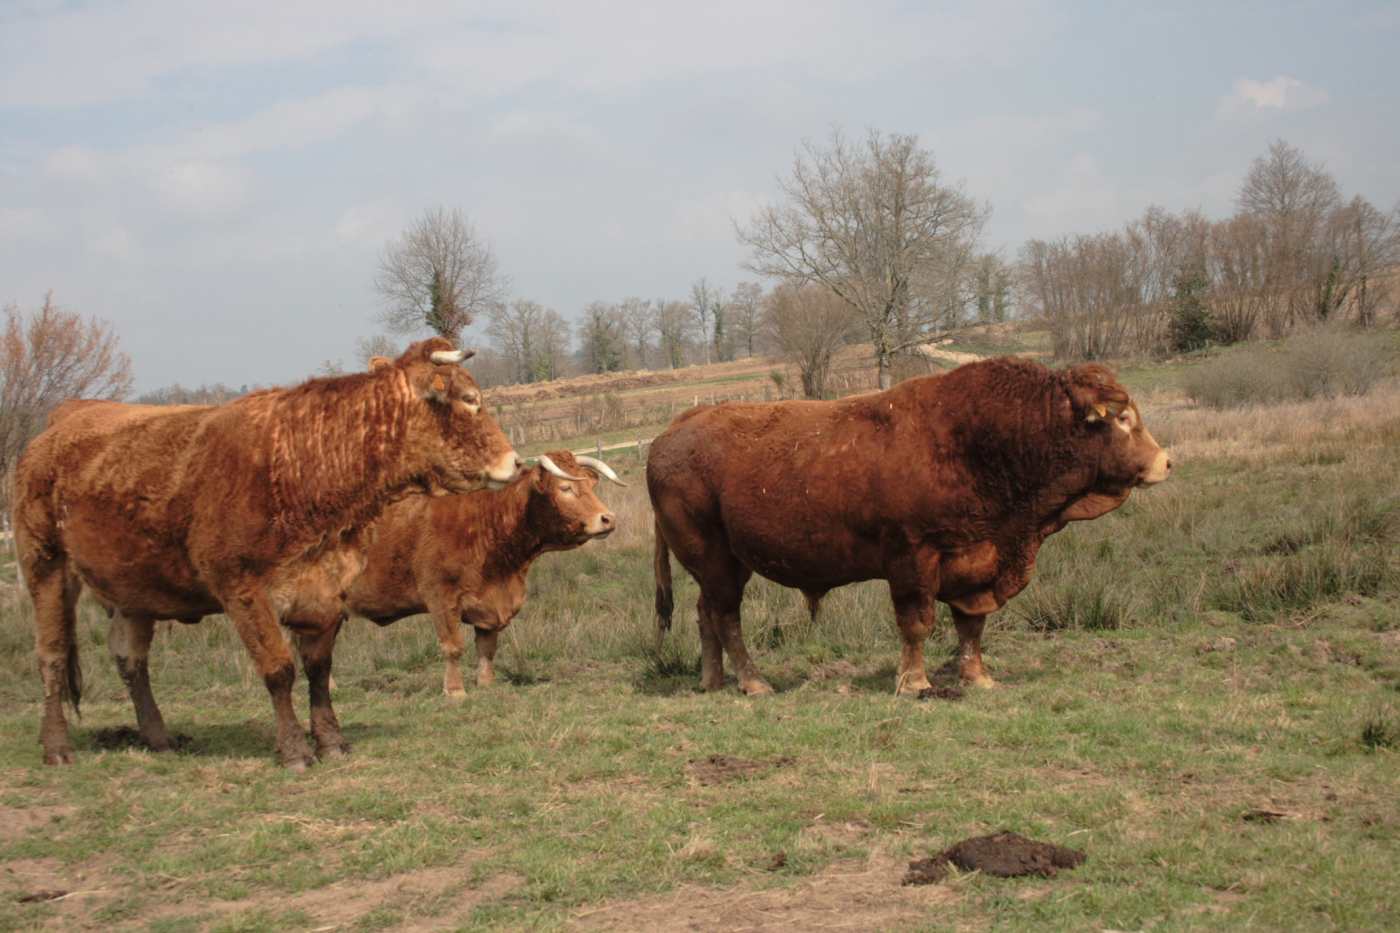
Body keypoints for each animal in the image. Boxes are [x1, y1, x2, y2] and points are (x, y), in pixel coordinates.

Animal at [12, 338, 520, 768]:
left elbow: (318, 671)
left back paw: (159, 737)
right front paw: (295, 749)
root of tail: (67, 417)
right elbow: (278, 669)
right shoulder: (241, 588)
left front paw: (331, 741)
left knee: (131, 660)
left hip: (133, 590)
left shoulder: (324, 593)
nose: (514, 462)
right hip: (45, 566)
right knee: (51, 655)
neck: (303, 466)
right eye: (470, 400)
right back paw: (56, 747)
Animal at [334, 449, 624, 696]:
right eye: (566, 488)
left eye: (591, 486)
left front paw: (486, 683)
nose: (608, 518)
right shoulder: (441, 598)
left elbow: (487, 647)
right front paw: (455, 691)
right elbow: (453, 647)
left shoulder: (490, 604)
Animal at [648, 357, 1171, 696]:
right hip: (714, 559)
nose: (1165, 462)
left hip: (728, 563)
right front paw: (915, 683)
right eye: (1124, 418)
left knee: (705, 613)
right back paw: (754, 683)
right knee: (726, 617)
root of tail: (676, 428)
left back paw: (712, 681)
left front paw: (978, 677)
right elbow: (917, 623)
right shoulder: (912, 559)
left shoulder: (975, 560)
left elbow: (970, 625)